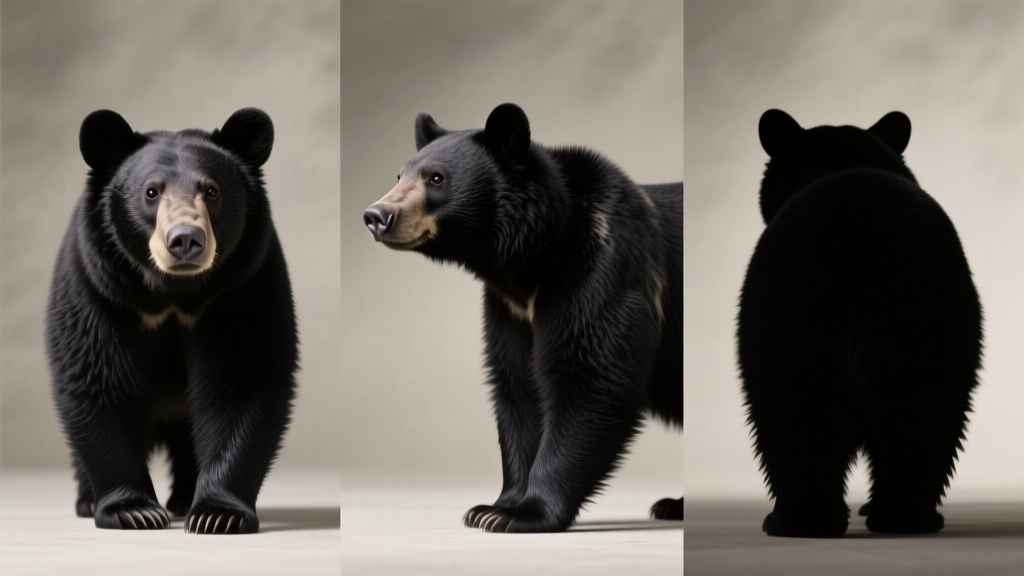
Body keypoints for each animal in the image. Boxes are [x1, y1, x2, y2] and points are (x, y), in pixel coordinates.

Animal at [44, 108, 297, 534]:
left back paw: (182, 498)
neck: (174, 293)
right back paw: (87, 500)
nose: (185, 239)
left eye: (211, 191)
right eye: (151, 192)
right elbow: (98, 380)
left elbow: (242, 381)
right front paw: (134, 511)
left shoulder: (243, 288)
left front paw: (217, 514)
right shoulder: (99, 290)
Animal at [362, 103, 683, 533]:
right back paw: (672, 504)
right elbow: (518, 386)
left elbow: (589, 378)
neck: (535, 258)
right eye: (399, 175)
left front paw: (522, 512)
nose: (377, 215)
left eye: (437, 178)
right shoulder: (509, 309)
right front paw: (493, 506)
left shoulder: (600, 270)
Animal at [737, 109, 982, 537]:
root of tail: (868, 252)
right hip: (932, 330)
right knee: (921, 422)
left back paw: (796, 521)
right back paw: (902, 517)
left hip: (786, 321)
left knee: (792, 420)